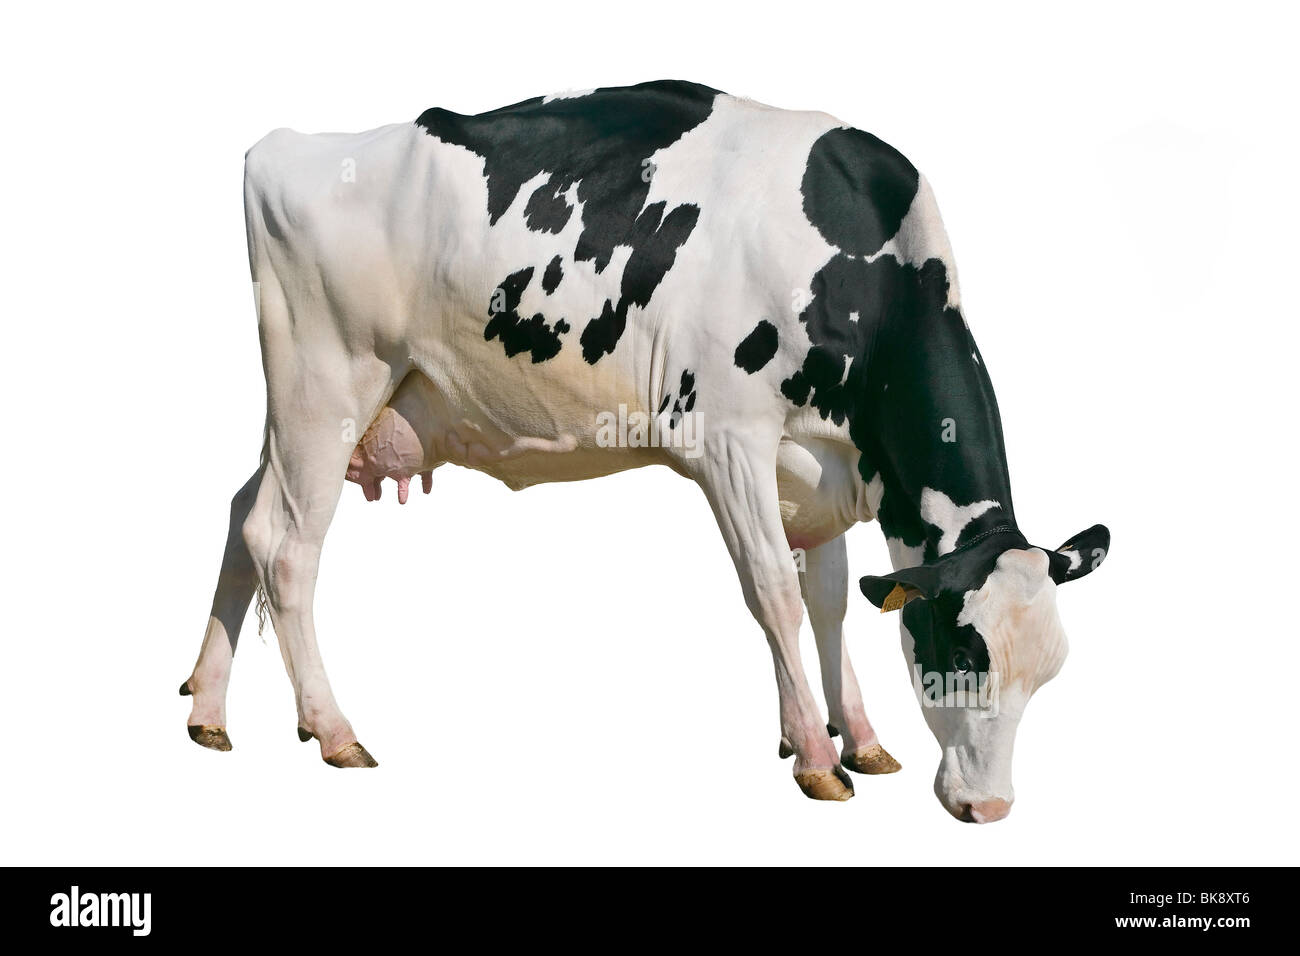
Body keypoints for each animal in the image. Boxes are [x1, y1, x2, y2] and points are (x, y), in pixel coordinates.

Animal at [181, 80, 1108, 821]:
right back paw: (334, 730)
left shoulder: (824, 467)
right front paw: (815, 757)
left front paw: (860, 736)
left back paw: (209, 711)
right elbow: (775, 595)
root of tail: (287, 144)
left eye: (1050, 672)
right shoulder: (729, 438)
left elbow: (831, 604)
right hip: (325, 383)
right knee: (286, 546)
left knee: (241, 514)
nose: (988, 808)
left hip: (322, 410)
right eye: (959, 652)